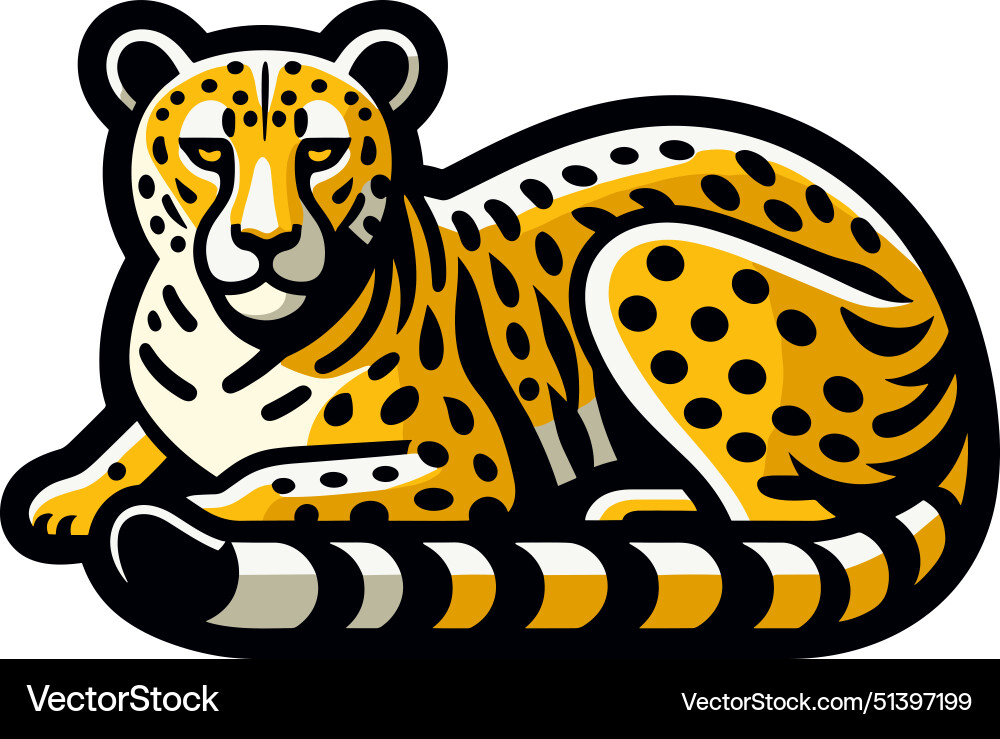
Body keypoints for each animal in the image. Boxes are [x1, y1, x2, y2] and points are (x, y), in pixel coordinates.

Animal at [1, 0, 996, 658]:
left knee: (783, 511)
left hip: (645, 255)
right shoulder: (165, 406)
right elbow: (137, 436)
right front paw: (68, 492)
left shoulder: (465, 462)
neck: (227, 329)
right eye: (209, 149)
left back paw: (646, 517)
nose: (265, 240)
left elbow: (289, 477)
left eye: (321, 150)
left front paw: (191, 510)